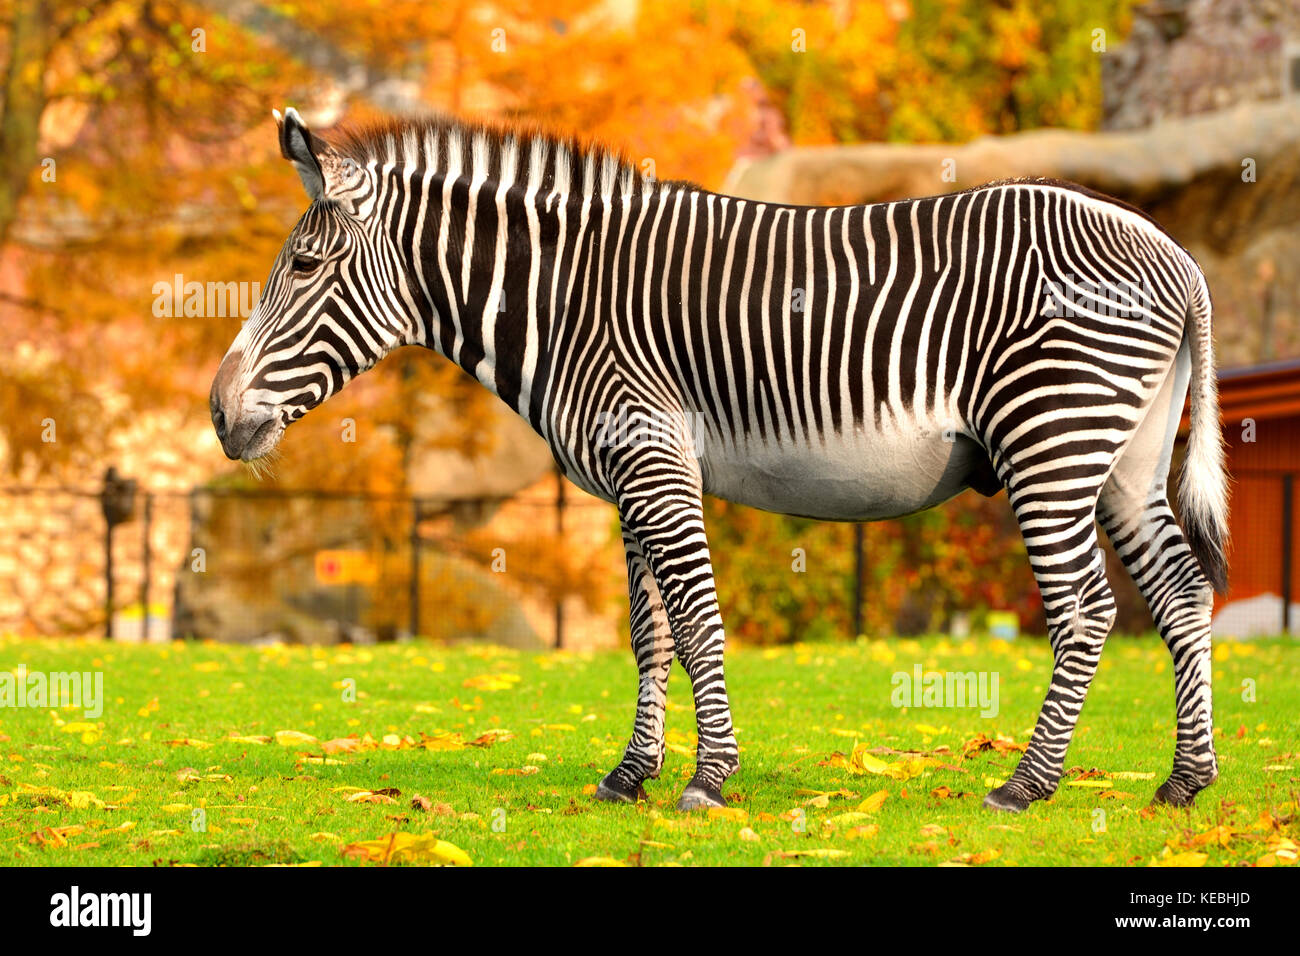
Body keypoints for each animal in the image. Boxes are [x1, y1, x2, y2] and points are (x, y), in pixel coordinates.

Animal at [211, 107, 1227, 813]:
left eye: (303, 268)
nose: (218, 414)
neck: (567, 300)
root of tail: (1172, 251)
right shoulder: (628, 475)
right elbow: (649, 635)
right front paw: (630, 775)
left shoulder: (655, 458)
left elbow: (699, 626)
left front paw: (710, 778)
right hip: (1125, 456)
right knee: (1179, 591)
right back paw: (1185, 780)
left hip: (1050, 437)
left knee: (1088, 610)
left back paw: (1028, 785)